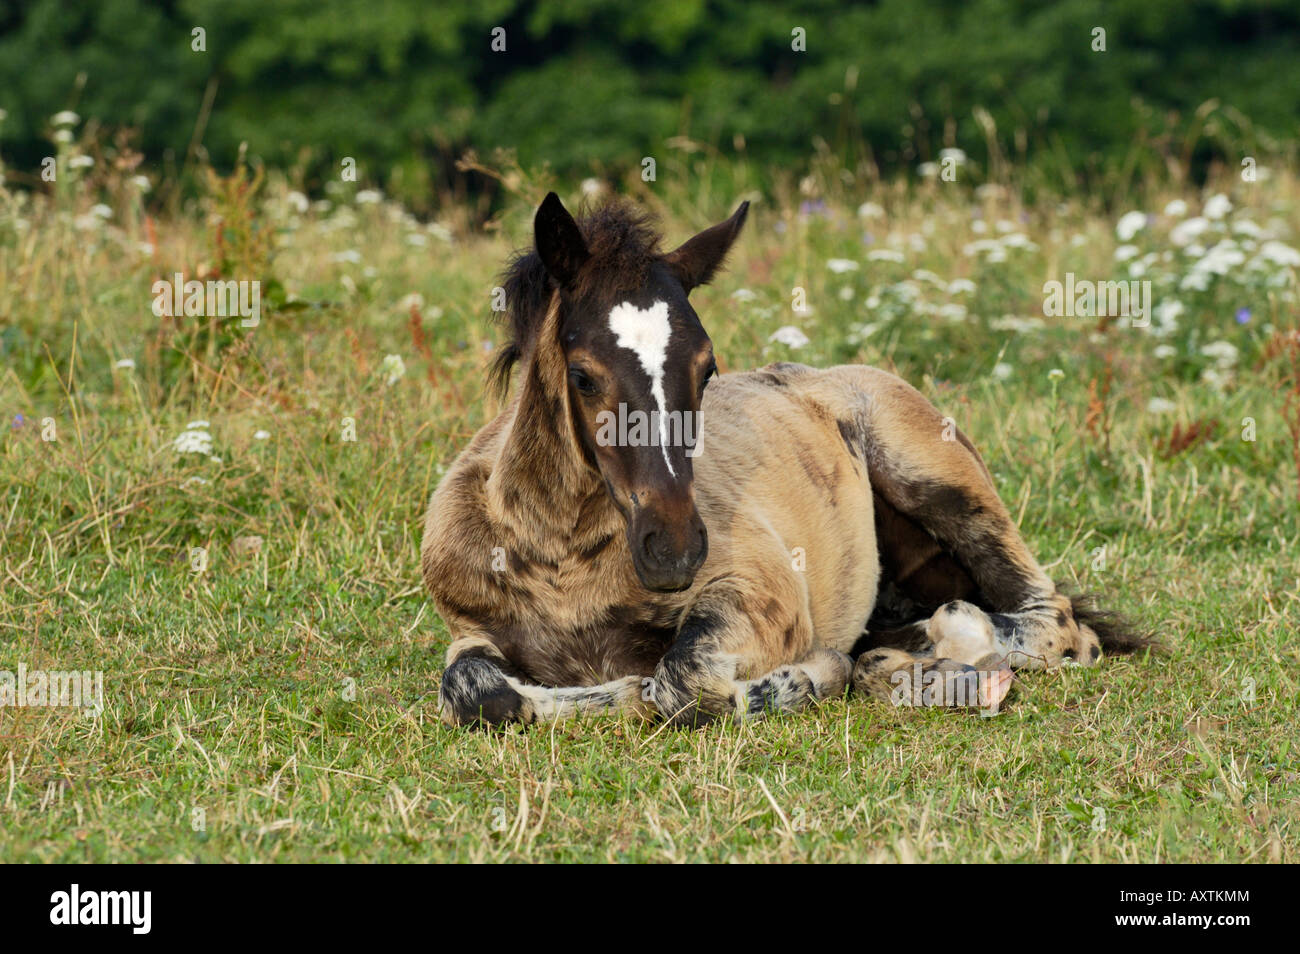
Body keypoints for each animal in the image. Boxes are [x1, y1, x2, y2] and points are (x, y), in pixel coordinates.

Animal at [420, 192, 1147, 727]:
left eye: (708, 367)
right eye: (583, 375)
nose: (674, 551)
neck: (565, 562)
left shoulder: (761, 589)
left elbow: (680, 684)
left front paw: (812, 676)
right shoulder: (469, 626)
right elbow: (478, 693)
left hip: (937, 479)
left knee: (1058, 621)